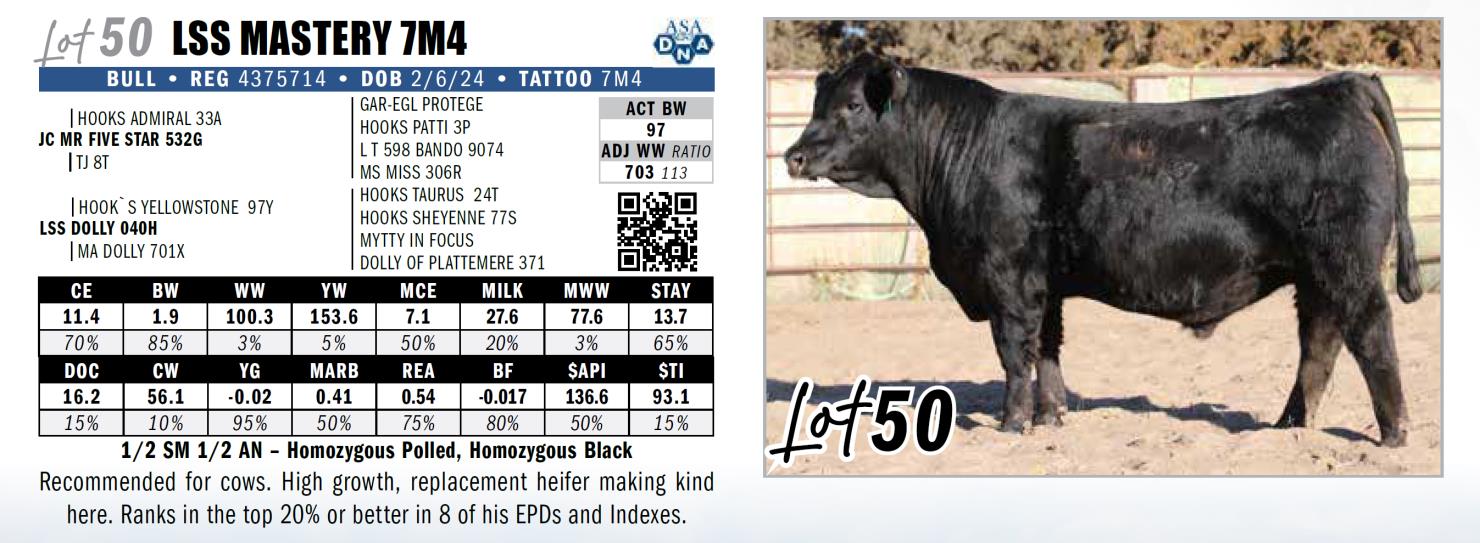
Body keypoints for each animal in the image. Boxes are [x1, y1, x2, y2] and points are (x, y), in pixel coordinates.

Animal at [783, 54, 1423, 447]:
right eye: (819, 104)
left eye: (853, 106)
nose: (794, 155)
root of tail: (1338, 86)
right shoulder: (1046, 284)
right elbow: (1047, 350)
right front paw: (1051, 418)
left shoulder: (1008, 277)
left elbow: (1013, 353)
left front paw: (1012, 425)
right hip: (1314, 274)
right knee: (1320, 344)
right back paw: (1288, 425)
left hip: (1347, 263)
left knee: (1371, 334)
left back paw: (1392, 433)